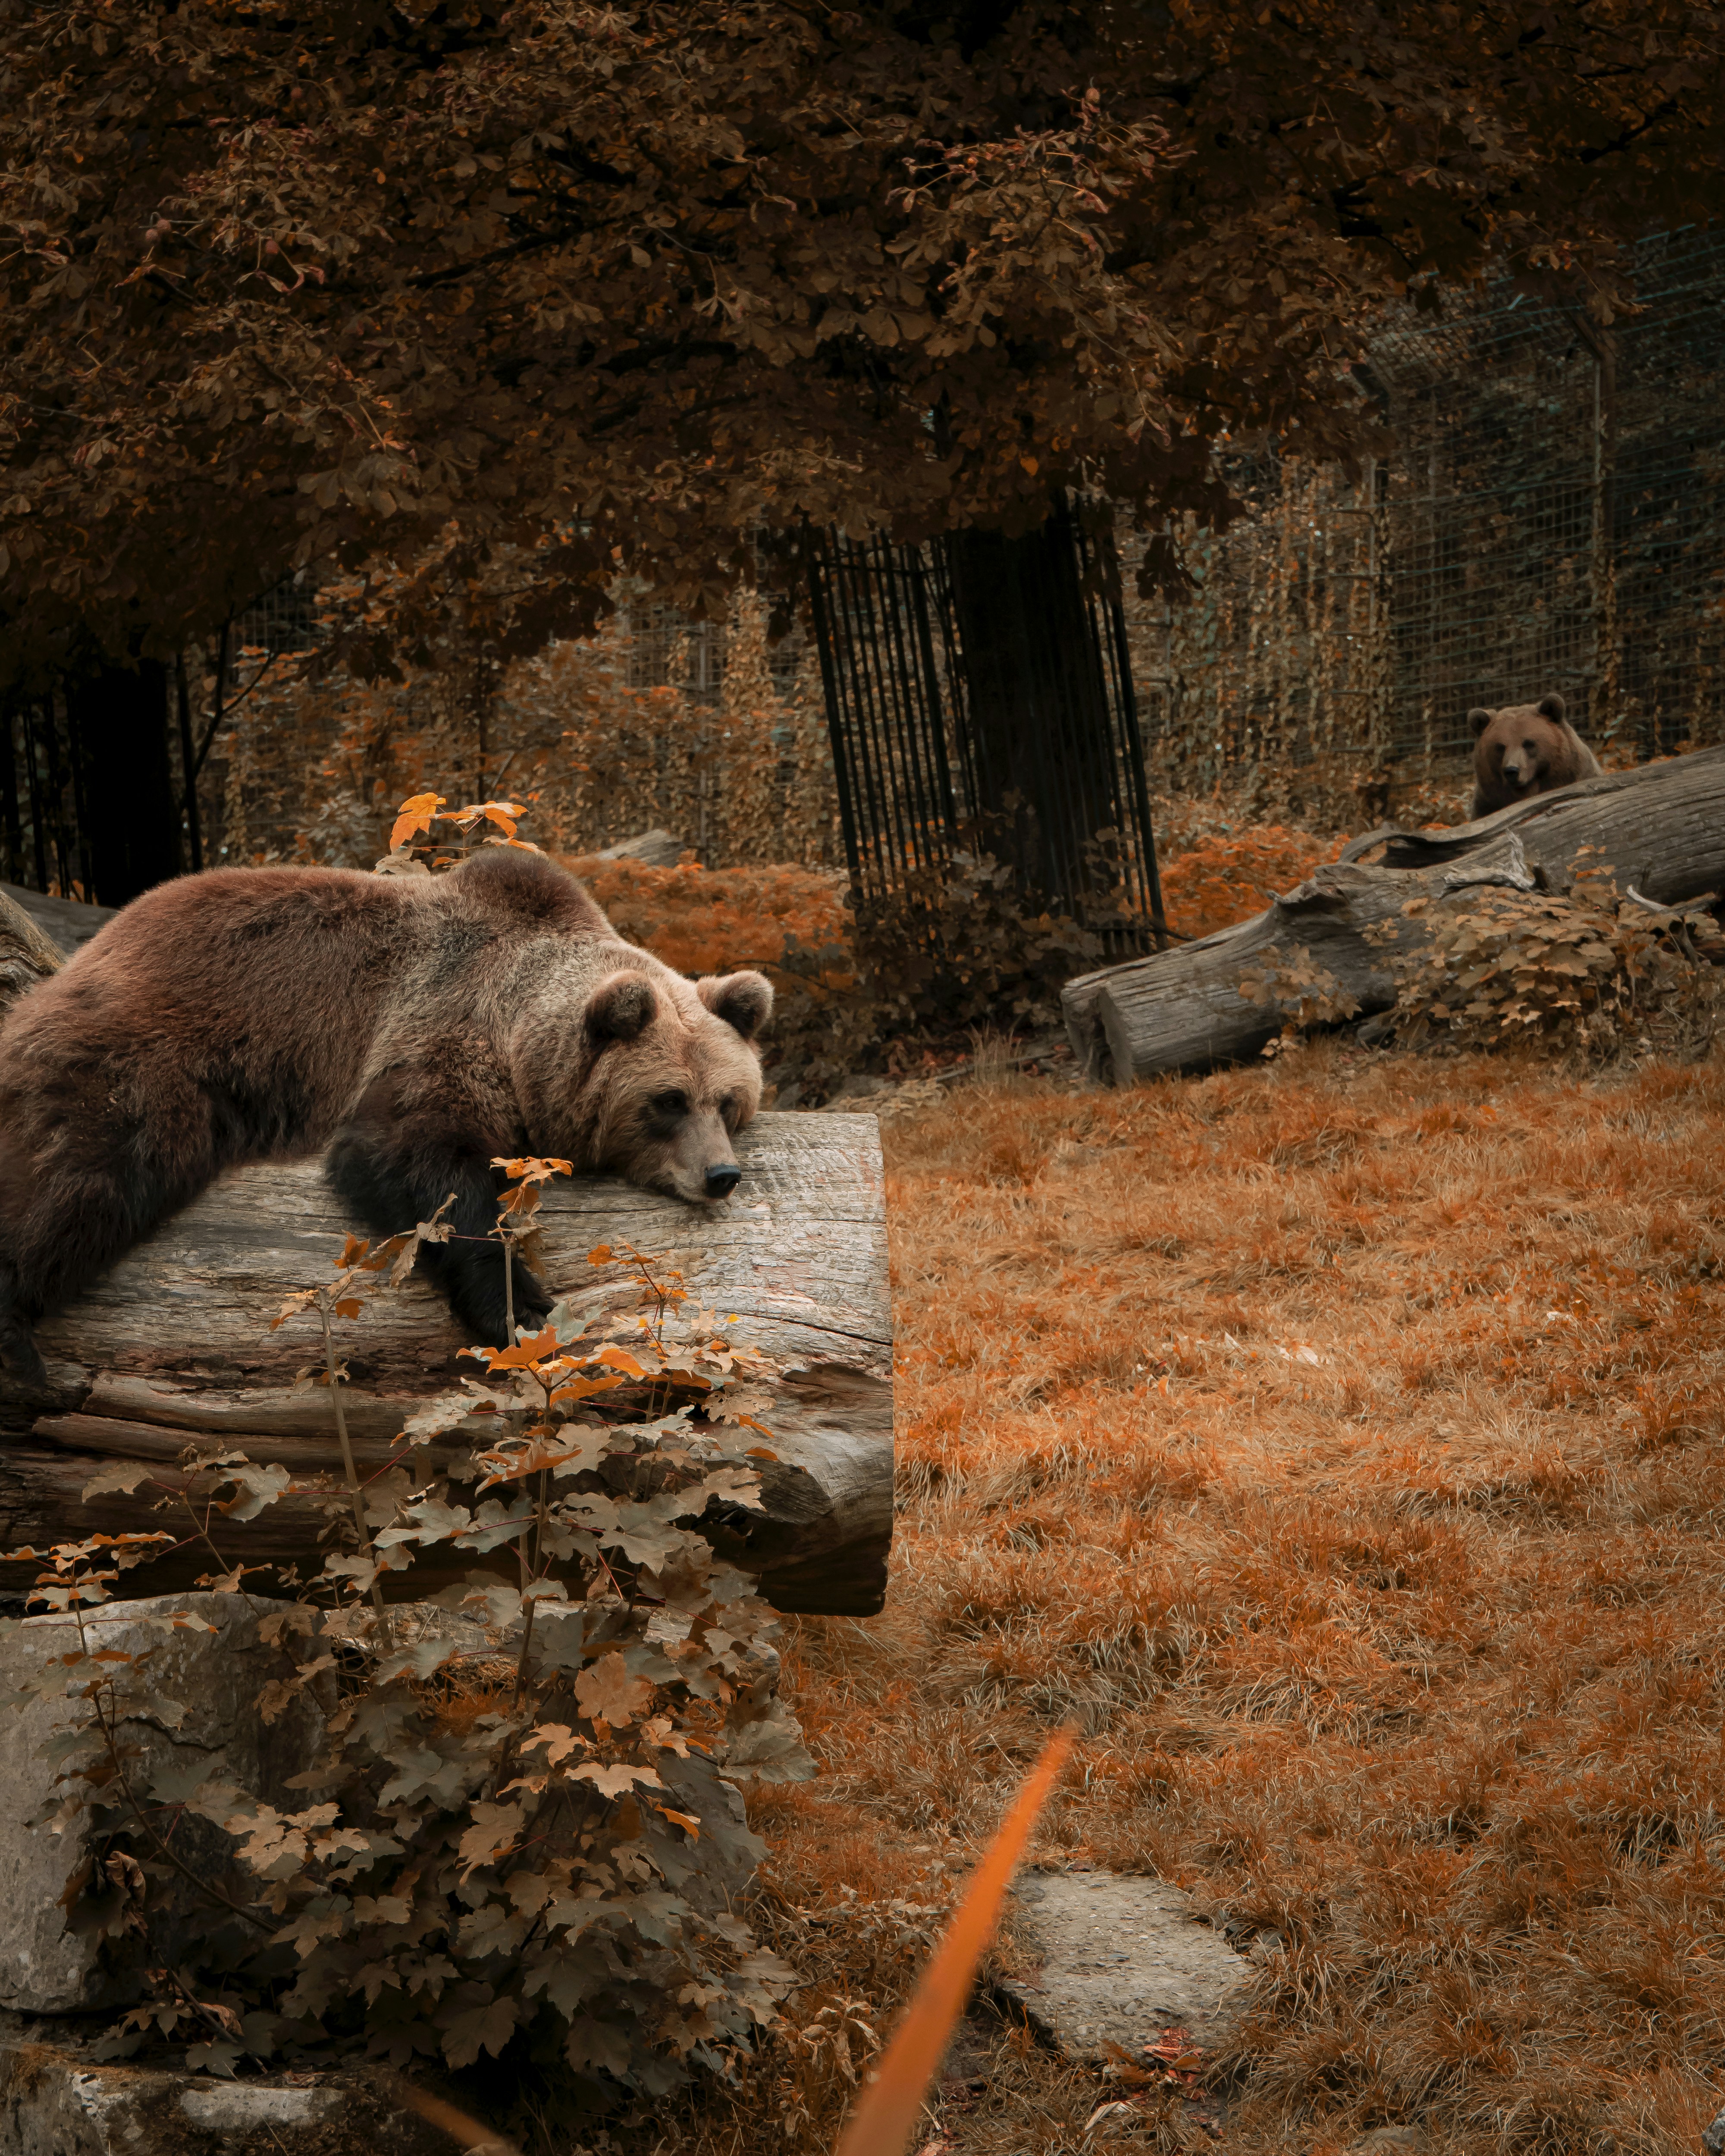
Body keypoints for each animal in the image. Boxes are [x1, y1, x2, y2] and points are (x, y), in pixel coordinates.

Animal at [0, 848, 773, 1379]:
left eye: (729, 1100)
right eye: (667, 1101)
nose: (721, 1175)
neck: (520, 1030)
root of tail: (89, 952)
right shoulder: (440, 1022)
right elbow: (413, 1160)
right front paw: (520, 1307)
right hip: (154, 1051)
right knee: (84, 1172)